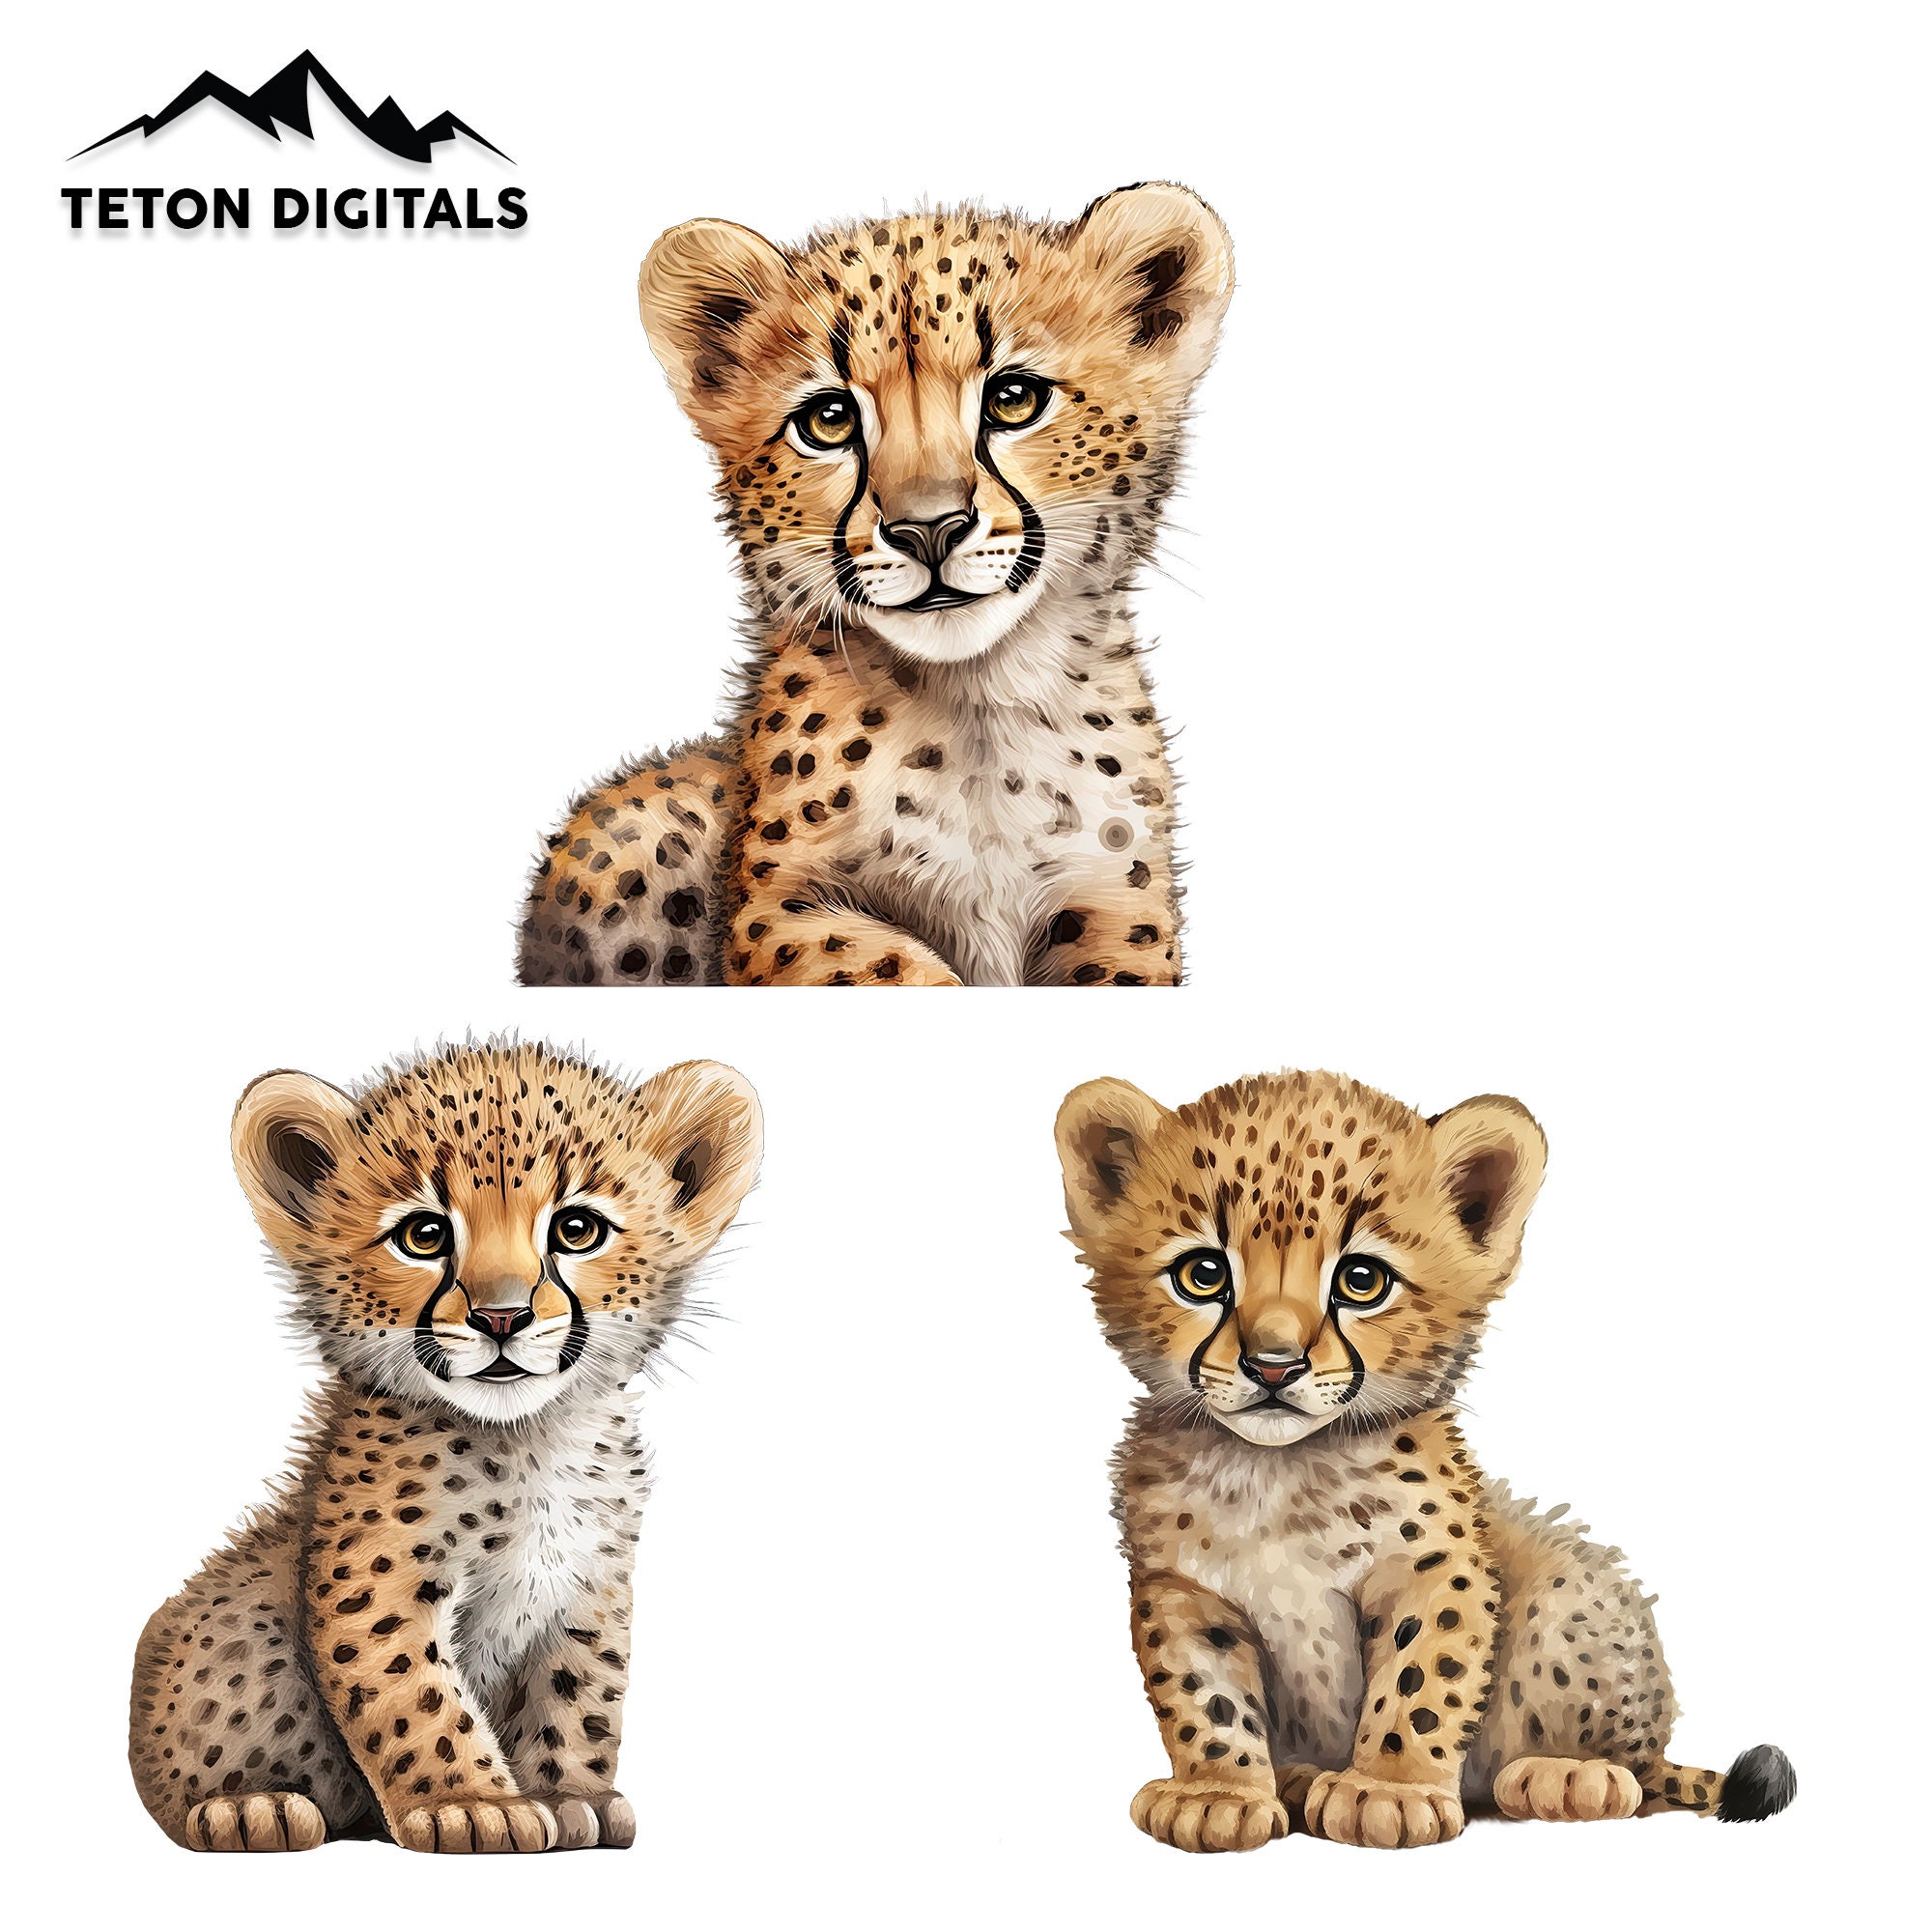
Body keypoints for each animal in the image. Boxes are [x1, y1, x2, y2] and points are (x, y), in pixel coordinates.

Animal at [128, 1039, 762, 1852]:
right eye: (423, 1236)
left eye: (577, 1230)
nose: (502, 1317)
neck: (529, 1441)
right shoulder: (379, 1584)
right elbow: (417, 1700)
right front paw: (471, 1803)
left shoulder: (588, 1589)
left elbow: (581, 1697)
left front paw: (569, 1798)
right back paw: (249, 1807)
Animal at [516, 182, 1233, 987]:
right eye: (828, 420)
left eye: (1014, 399)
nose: (929, 528)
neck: (978, 705)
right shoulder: (775, 911)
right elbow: (887, 965)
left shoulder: (1113, 906)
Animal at [1054, 1067, 1796, 1852]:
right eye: (1202, 1274)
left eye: (1361, 1280)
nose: (1274, 1366)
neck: (1277, 1471)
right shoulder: (1183, 1589)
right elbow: (1206, 1696)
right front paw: (1218, 1792)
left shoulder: (1435, 1568)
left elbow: (1422, 1681)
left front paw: (1389, 1789)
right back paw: (1300, 1777)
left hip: (1568, 1588)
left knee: (1640, 1770)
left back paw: (1568, 1773)